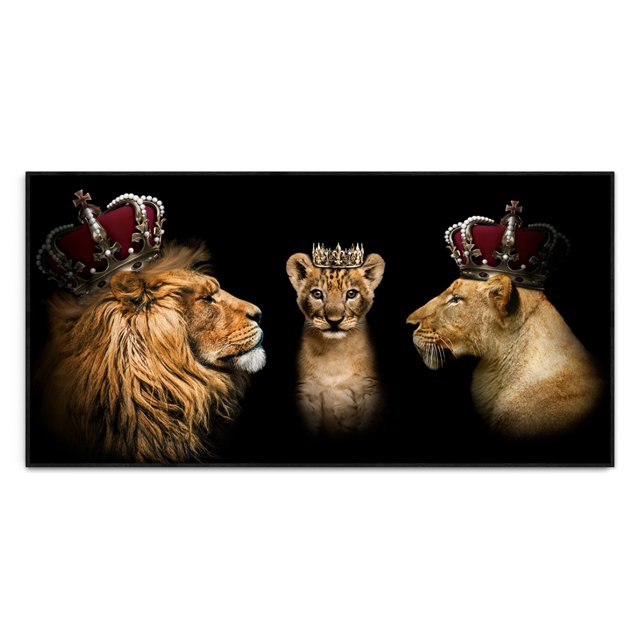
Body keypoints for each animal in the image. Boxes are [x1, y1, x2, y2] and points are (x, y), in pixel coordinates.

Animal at [286, 251, 385, 434]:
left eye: (351, 294)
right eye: (317, 294)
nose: (334, 321)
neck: (334, 351)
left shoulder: (370, 390)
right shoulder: (307, 391)